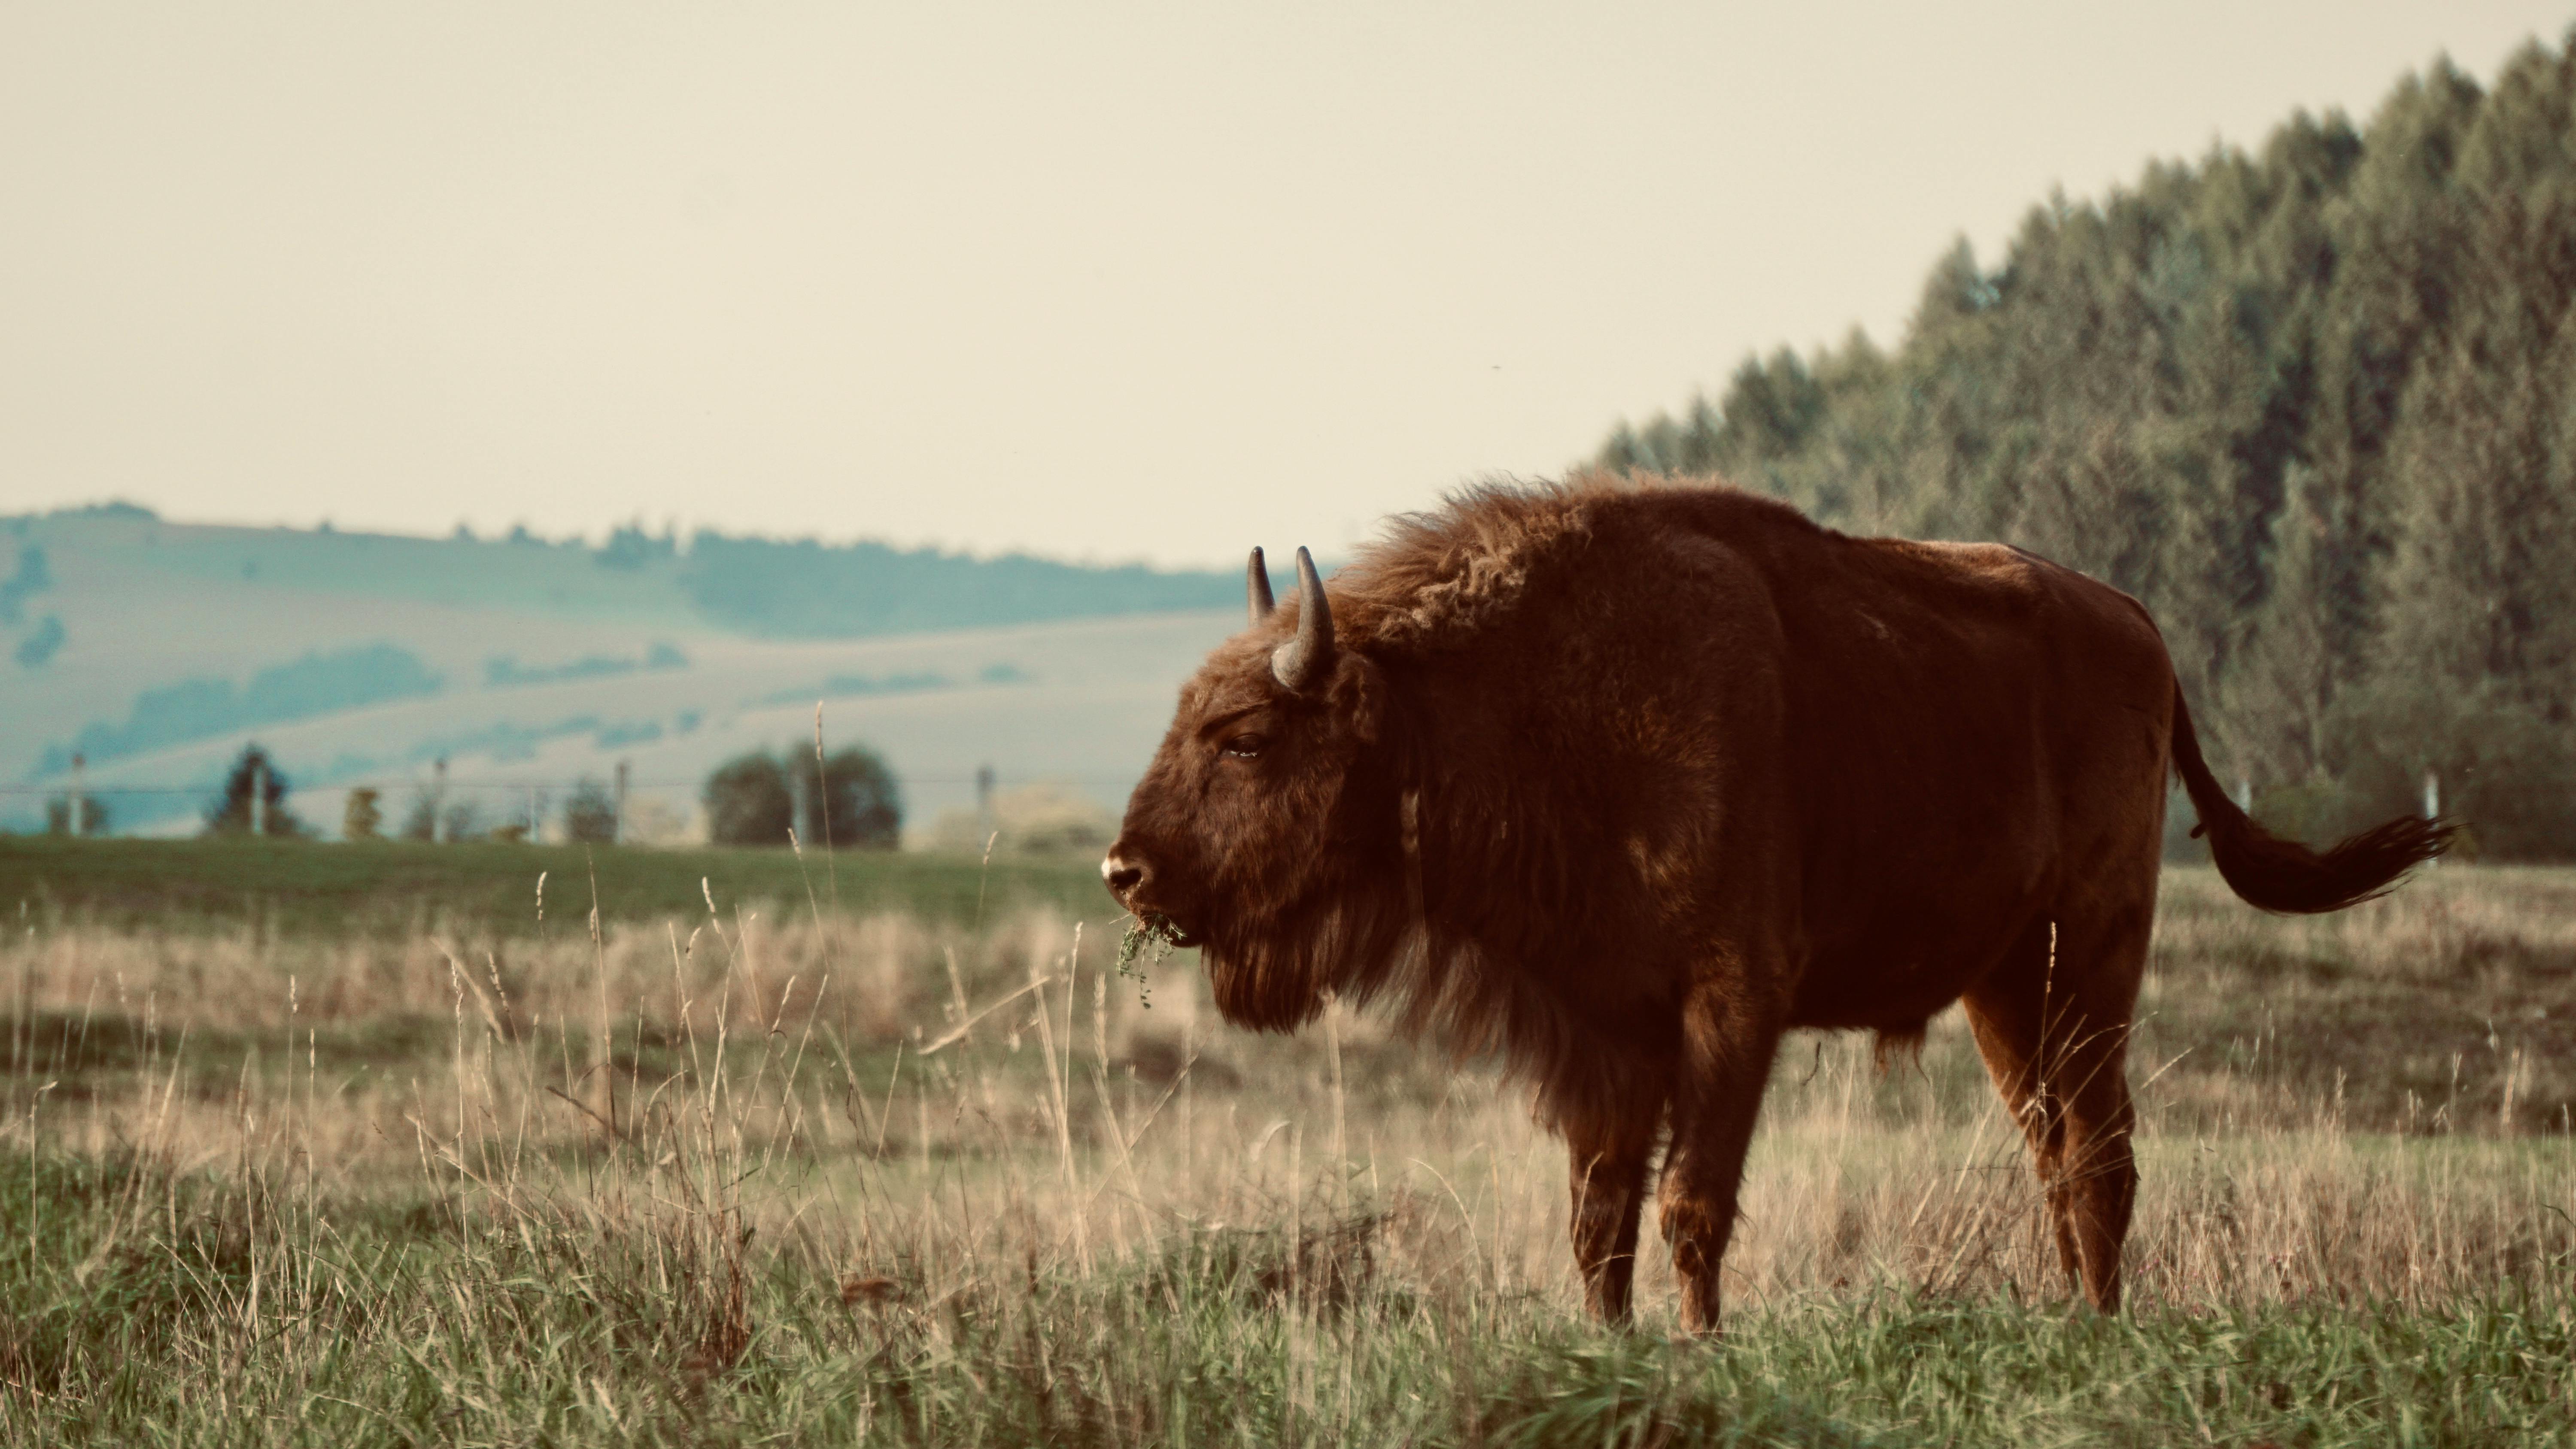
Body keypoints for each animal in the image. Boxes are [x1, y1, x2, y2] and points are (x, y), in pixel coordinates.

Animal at [1104, 474, 2448, 1333]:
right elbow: (1600, 1217)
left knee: (2101, 1150)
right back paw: (2081, 1316)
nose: (1128, 870)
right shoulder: (1605, 1030)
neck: (1525, 704)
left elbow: (1692, 1203)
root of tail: (2145, 632)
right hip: (2007, 987)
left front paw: (1704, 1344)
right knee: (2056, 1147)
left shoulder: (1730, 1006)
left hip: (2097, 952)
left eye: (1246, 735)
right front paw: (1613, 1344)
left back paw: (2106, 1327)